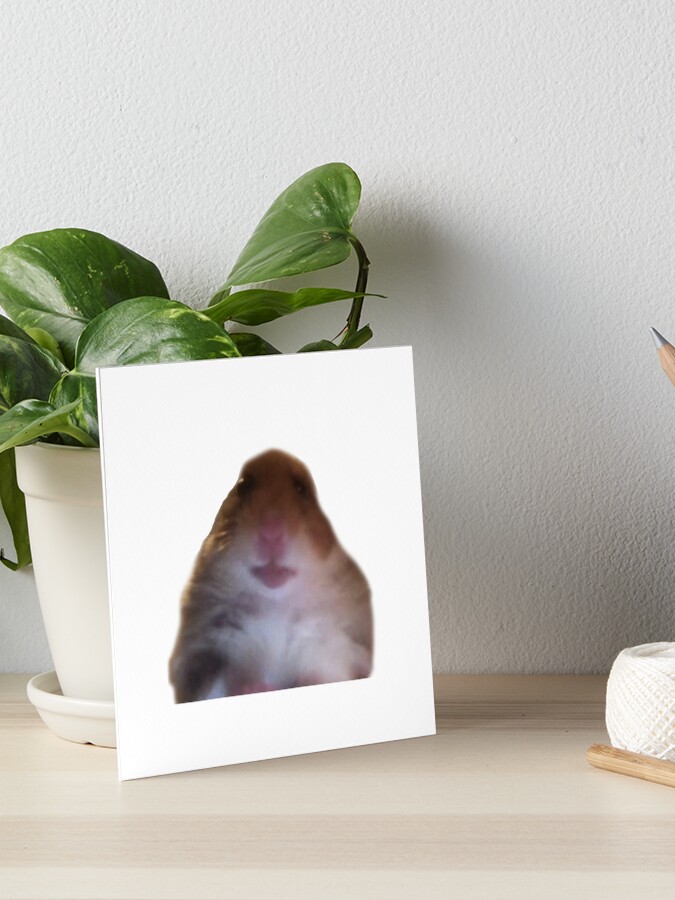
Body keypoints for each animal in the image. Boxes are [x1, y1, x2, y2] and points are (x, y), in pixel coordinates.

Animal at [169, 448, 373, 703]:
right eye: (243, 485)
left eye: (301, 488)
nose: (271, 532)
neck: (276, 603)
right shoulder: (208, 647)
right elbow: (225, 680)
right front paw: (258, 687)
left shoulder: (331, 641)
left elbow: (323, 671)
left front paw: (303, 682)